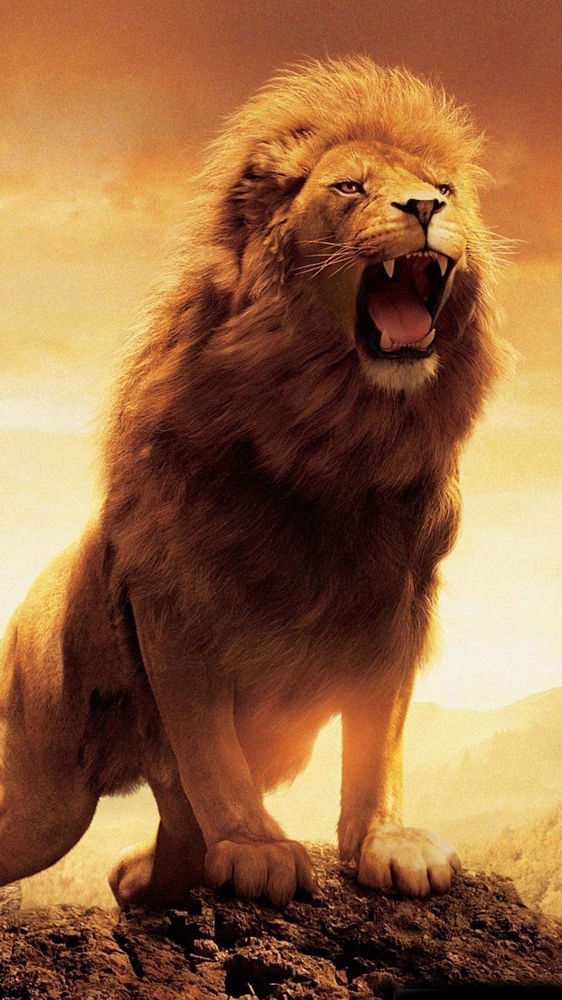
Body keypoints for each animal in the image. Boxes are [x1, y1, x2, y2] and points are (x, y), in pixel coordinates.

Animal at [0, 58, 507, 908]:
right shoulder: (174, 600)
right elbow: (208, 749)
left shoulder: (397, 601)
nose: (425, 207)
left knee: (171, 824)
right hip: (45, 794)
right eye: (349, 187)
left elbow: (378, 743)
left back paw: (144, 876)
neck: (334, 437)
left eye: (443, 185)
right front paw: (256, 846)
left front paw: (387, 842)